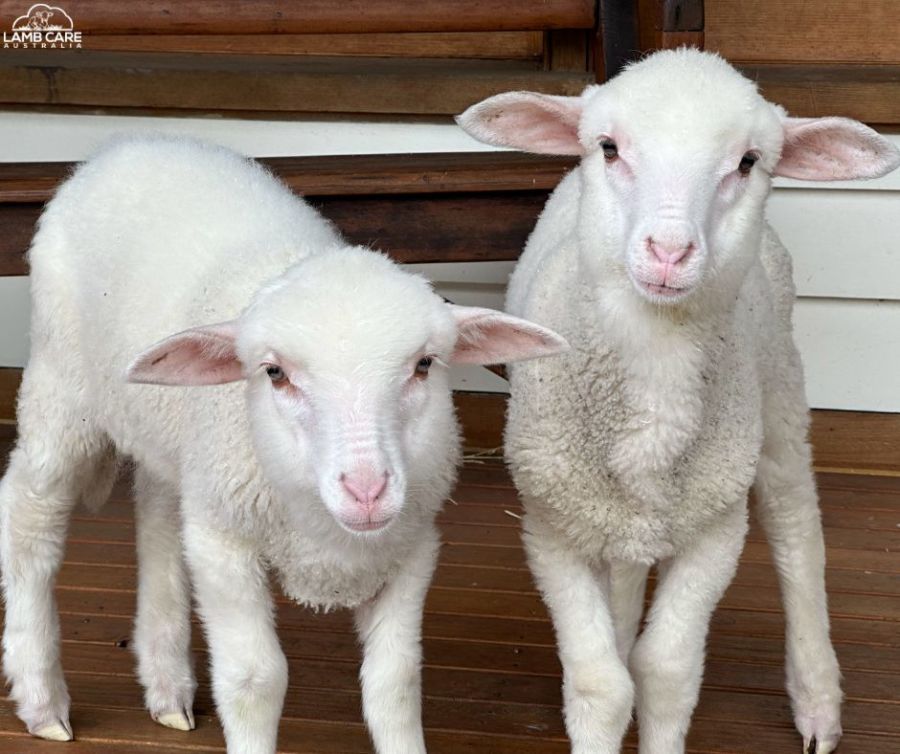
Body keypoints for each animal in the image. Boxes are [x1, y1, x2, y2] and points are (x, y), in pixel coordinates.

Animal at [0, 135, 568, 753]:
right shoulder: (225, 546)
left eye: (424, 365)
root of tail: (135, 143)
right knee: (30, 515)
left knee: (158, 520)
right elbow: (255, 679)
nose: (367, 491)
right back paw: (43, 699)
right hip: (62, 387)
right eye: (274, 373)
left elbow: (395, 682)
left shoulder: (412, 547)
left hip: (174, 438)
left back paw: (168, 687)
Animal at [457, 48, 900, 754]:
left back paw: (816, 700)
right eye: (609, 148)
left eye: (747, 161)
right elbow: (602, 684)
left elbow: (666, 671)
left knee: (795, 527)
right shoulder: (552, 528)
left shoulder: (716, 529)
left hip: (779, 393)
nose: (669, 252)